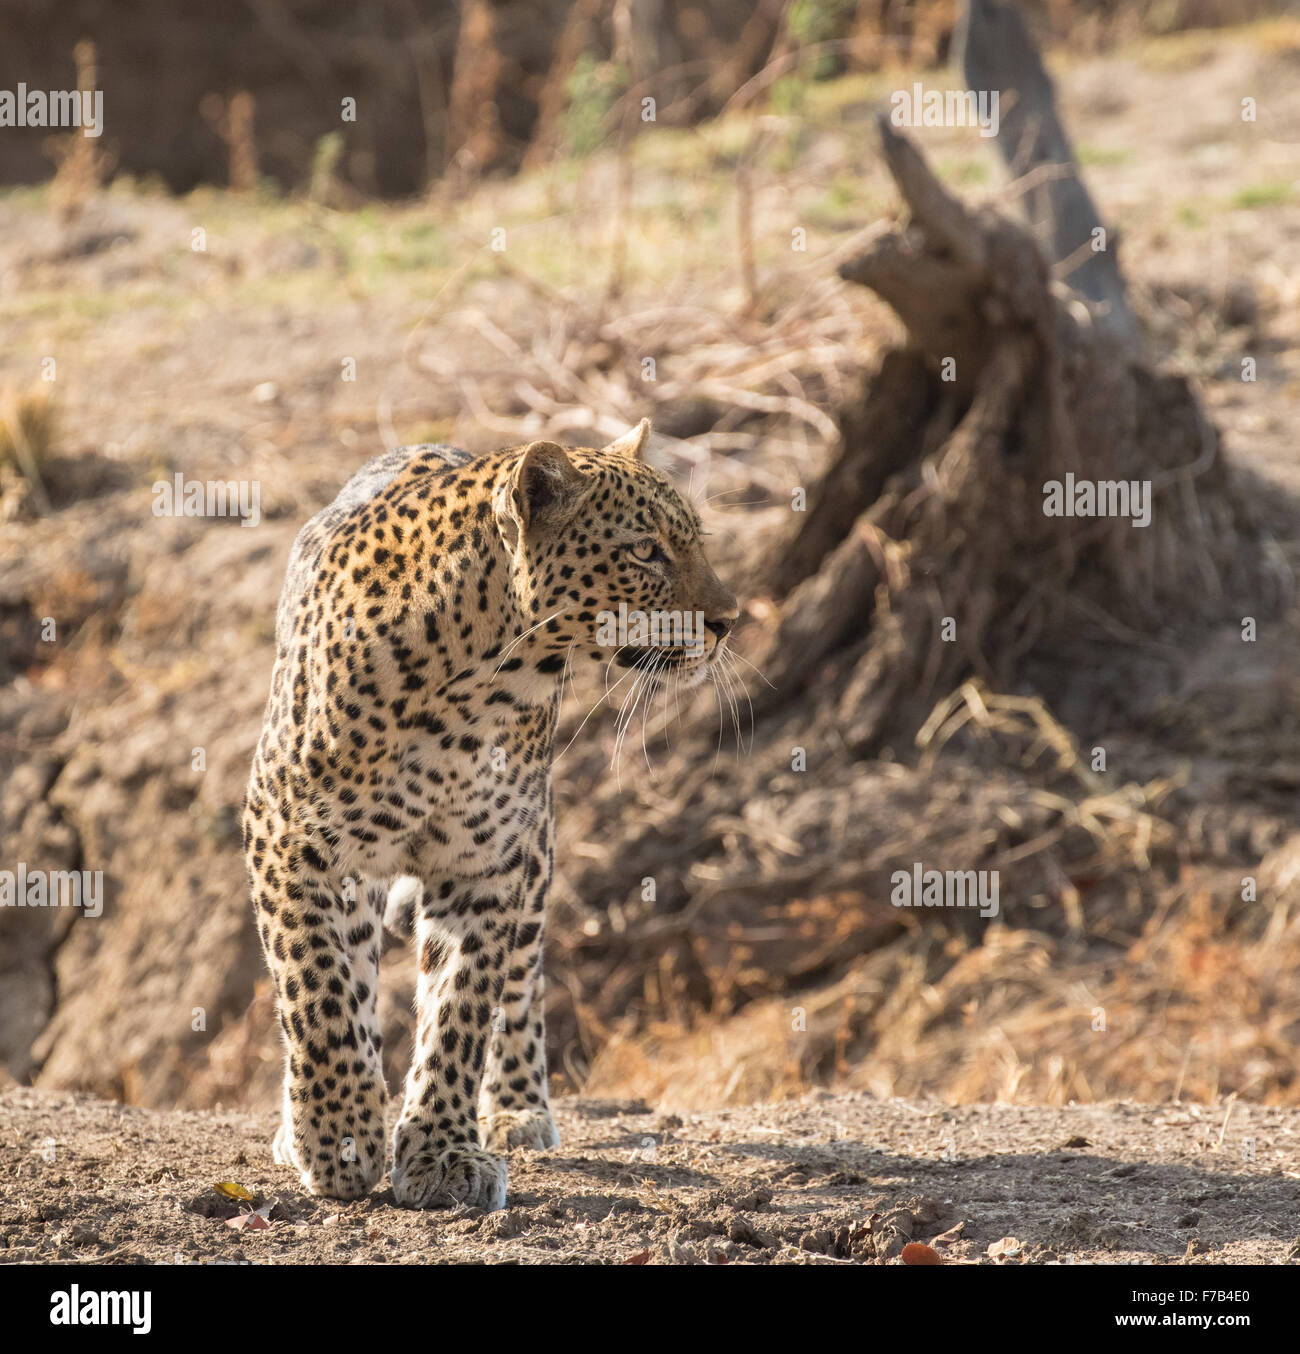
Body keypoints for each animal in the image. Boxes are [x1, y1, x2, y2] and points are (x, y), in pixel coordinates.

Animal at [242, 419, 737, 1209]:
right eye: (645, 550)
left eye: (692, 542)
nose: (727, 621)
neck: (473, 684)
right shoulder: (289, 833)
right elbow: (316, 988)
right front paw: (339, 1134)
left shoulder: (487, 863)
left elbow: (461, 1008)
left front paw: (443, 1151)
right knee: (348, 971)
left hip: (535, 857)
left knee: (522, 982)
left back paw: (516, 1108)